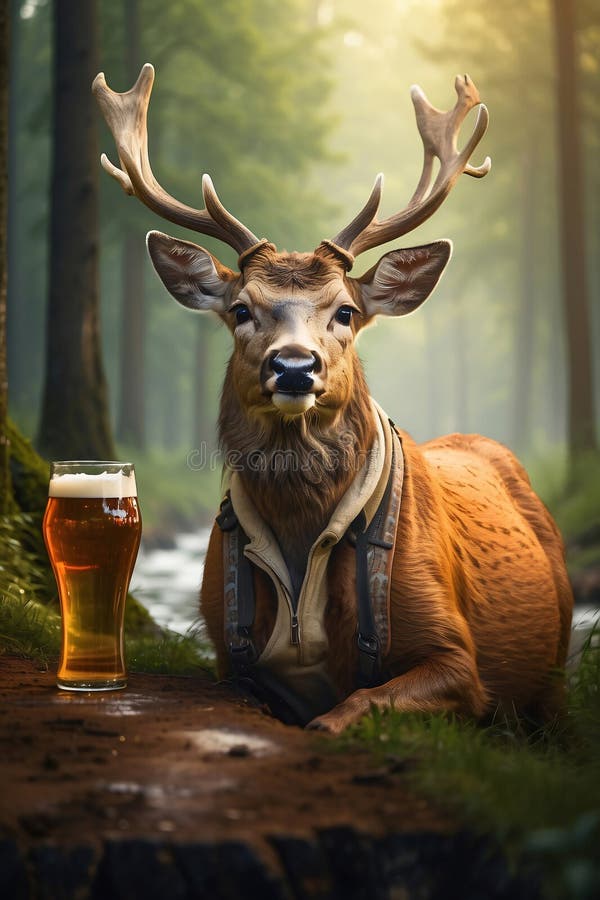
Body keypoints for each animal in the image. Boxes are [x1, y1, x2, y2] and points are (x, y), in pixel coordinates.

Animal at [93, 64, 573, 735]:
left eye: (345, 311)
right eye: (241, 310)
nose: (294, 366)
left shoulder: (455, 650)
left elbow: (352, 706)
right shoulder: (227, 655)